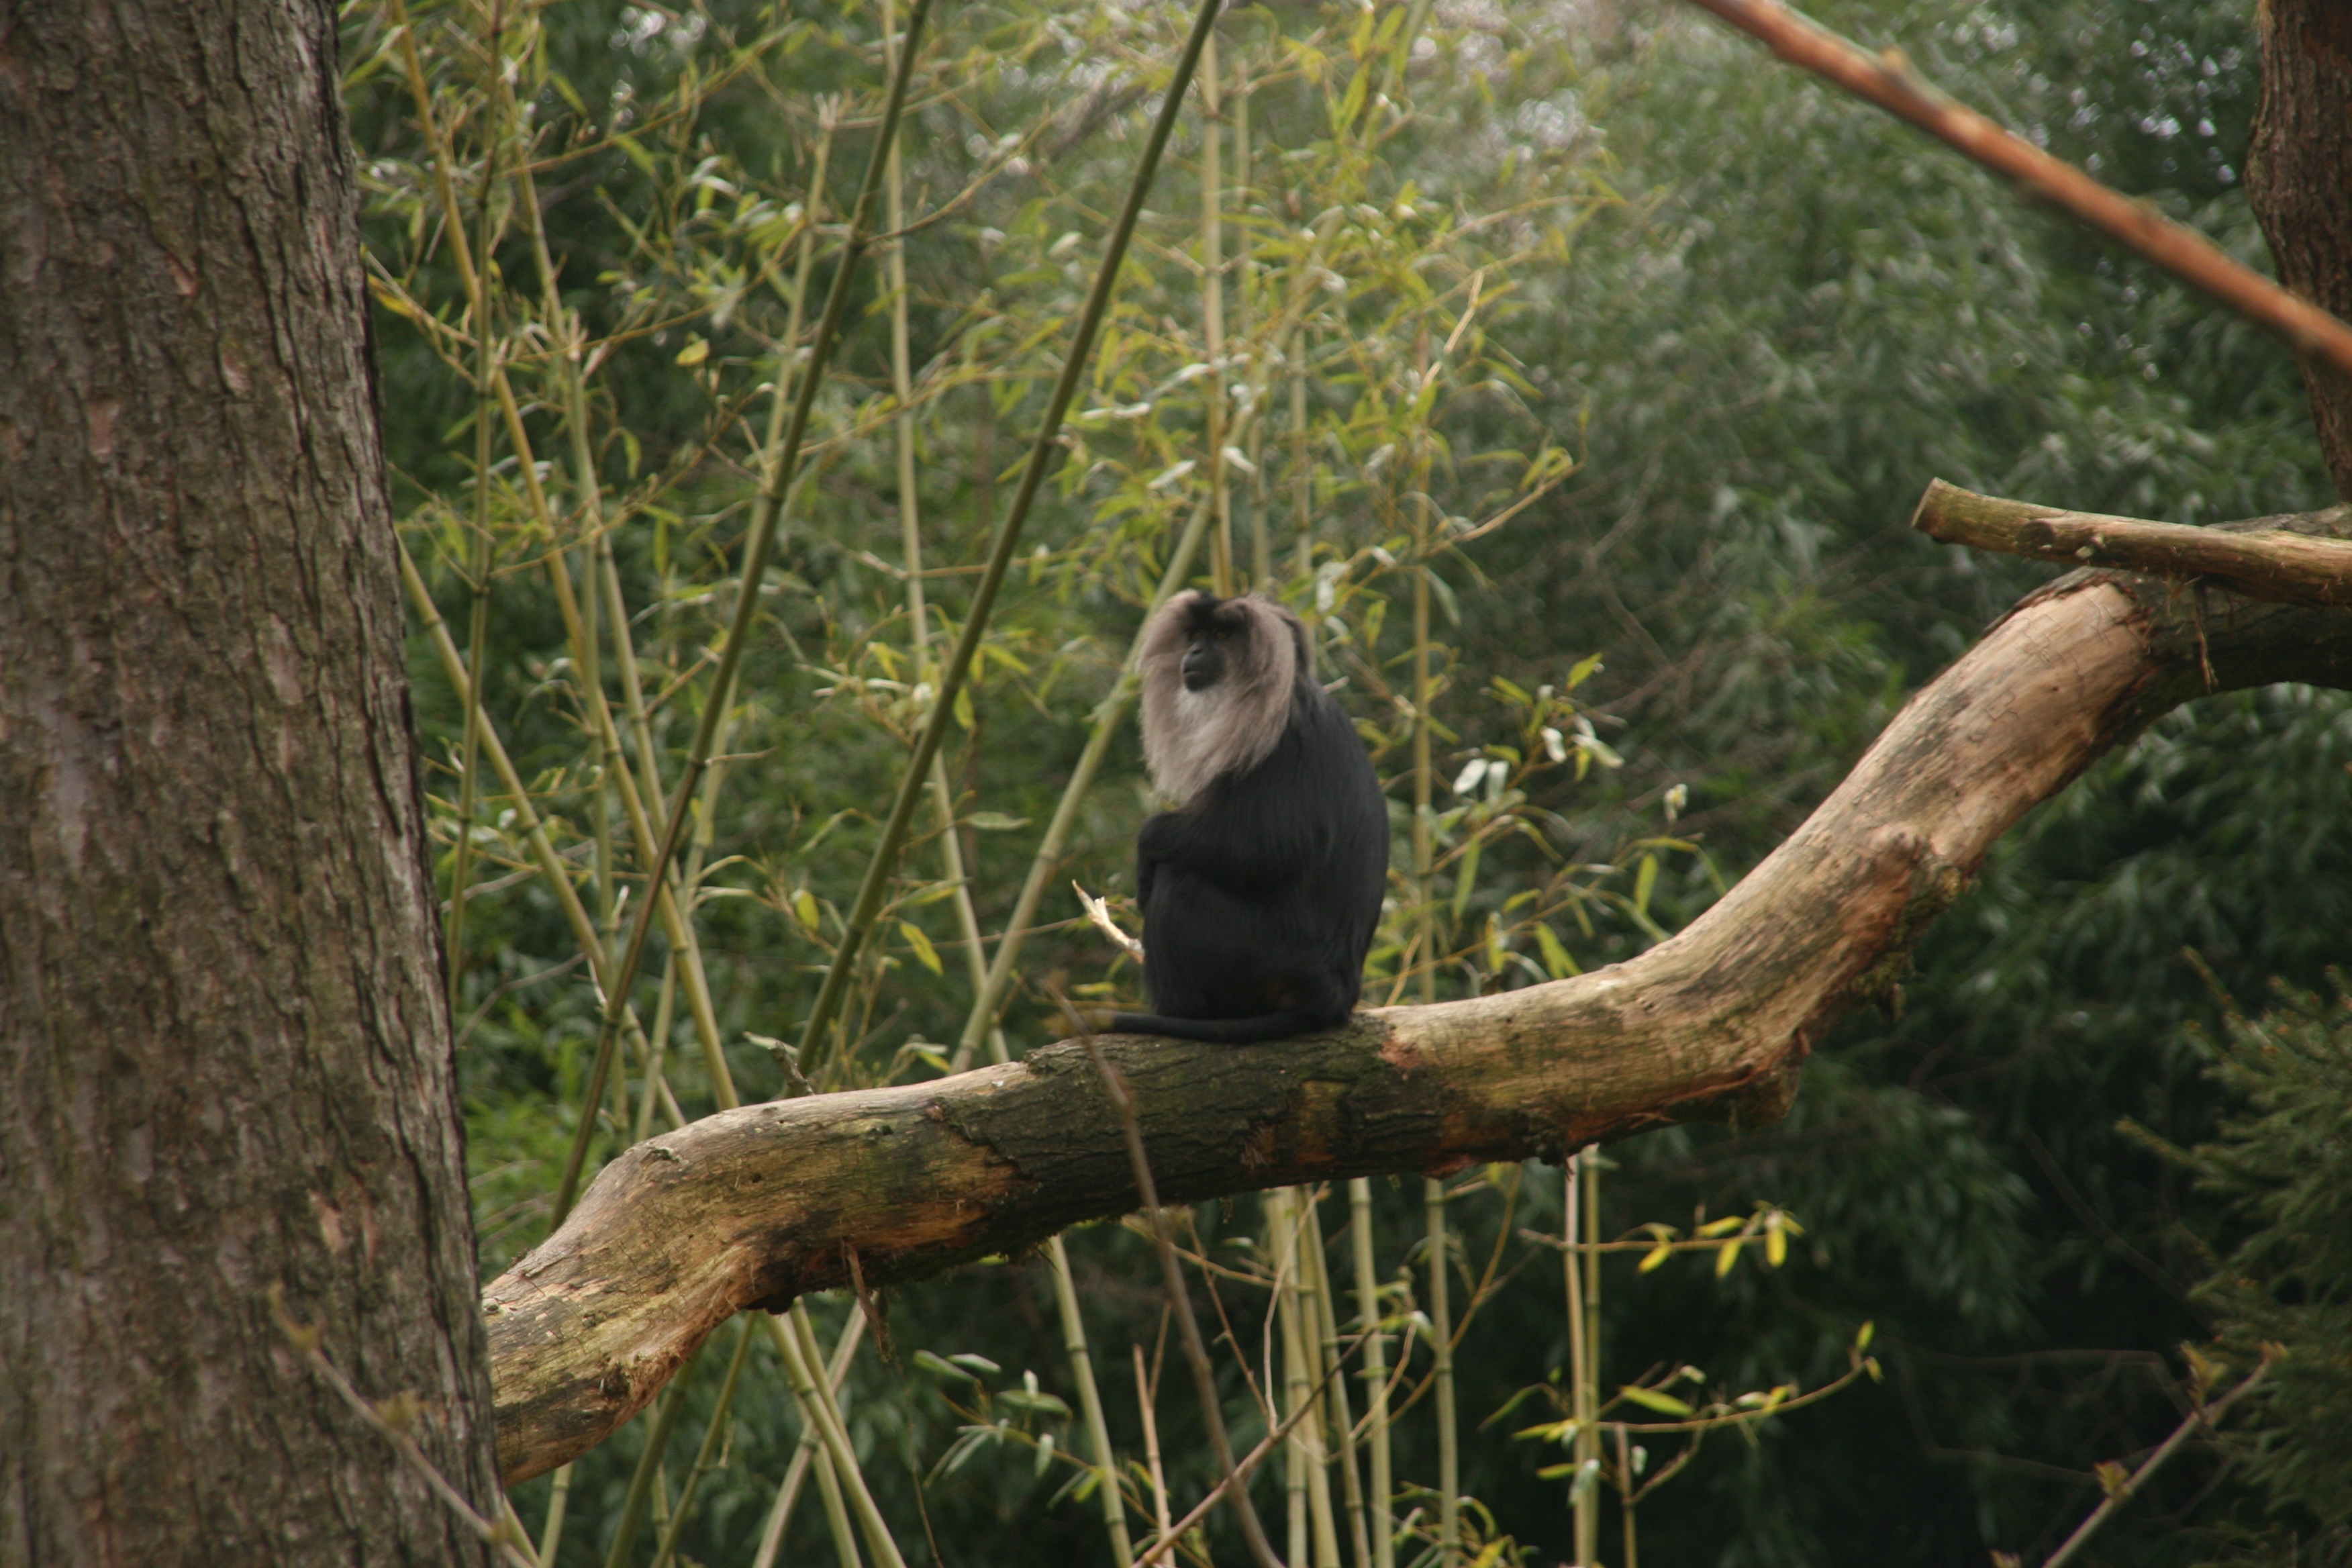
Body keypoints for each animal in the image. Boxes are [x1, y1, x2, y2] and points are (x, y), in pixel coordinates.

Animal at [1101, 590, 1389, 1044]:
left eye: (1221, 636)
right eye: (1196, 636)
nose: (1195, 652)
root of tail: (1333, 991)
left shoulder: (1284, 737)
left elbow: (1263, 848)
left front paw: (1148, 847)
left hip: (1264, 957)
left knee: (1180, 880)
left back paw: (1184, 1011)